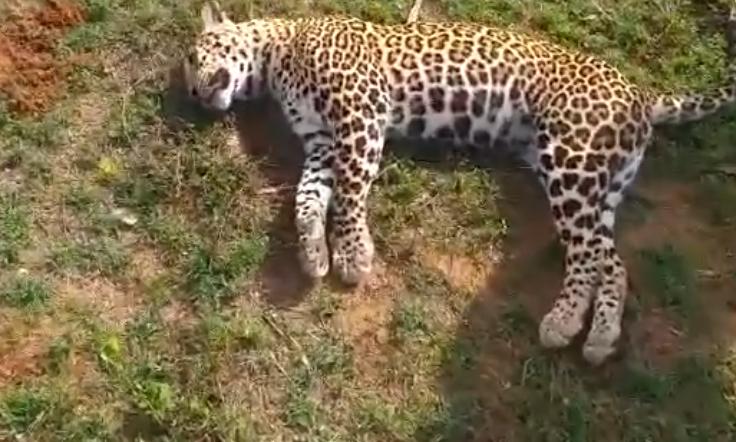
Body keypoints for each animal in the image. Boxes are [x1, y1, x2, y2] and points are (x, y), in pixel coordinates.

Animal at [183, 1, 736, 365]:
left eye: (194, 56)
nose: (192, 94)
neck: (277, 55)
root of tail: (642, 93)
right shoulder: (320, 143)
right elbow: (307, 200)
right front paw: (314, 252)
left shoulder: (360, 115)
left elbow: (351, 192)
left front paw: (354, 254)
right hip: (597, 181)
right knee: (610, 260)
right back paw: (598, 336)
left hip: (570, 160)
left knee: (587, 256)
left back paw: (562, 321)